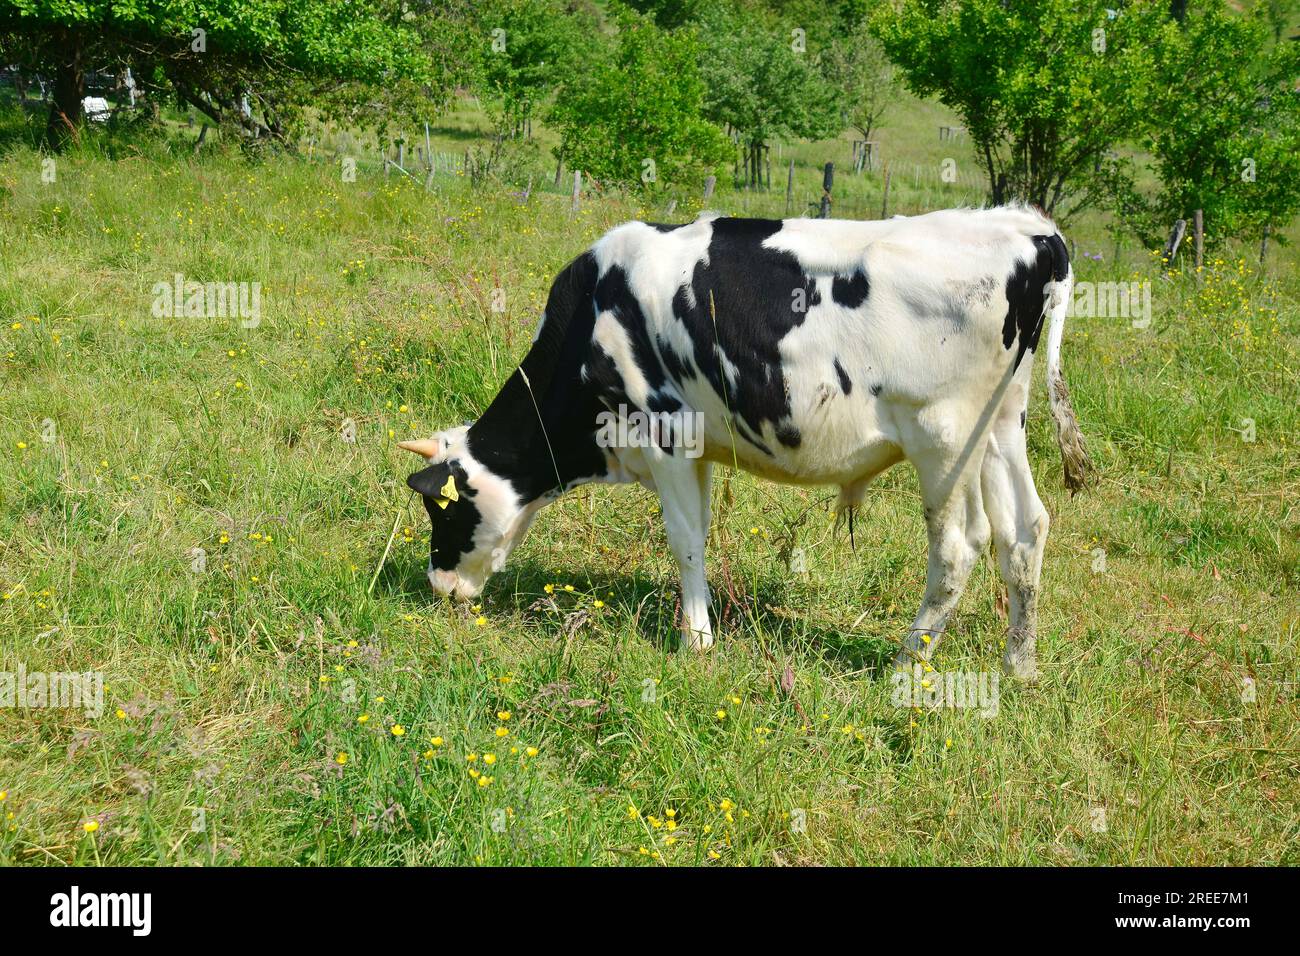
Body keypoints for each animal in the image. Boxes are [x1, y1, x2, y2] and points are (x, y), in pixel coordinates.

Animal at [397, 206, 1091, 679]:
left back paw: (904, 664)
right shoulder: (699, 446)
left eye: (442, 510)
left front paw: (695, 641)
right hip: (1000, 427)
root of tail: (1026, 228)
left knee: (960, 544)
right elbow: (700, 533)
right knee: (1024, 530)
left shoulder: (666, 432)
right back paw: (1019, 666)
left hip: (943, 440)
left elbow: (683, 539)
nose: (438, 586)